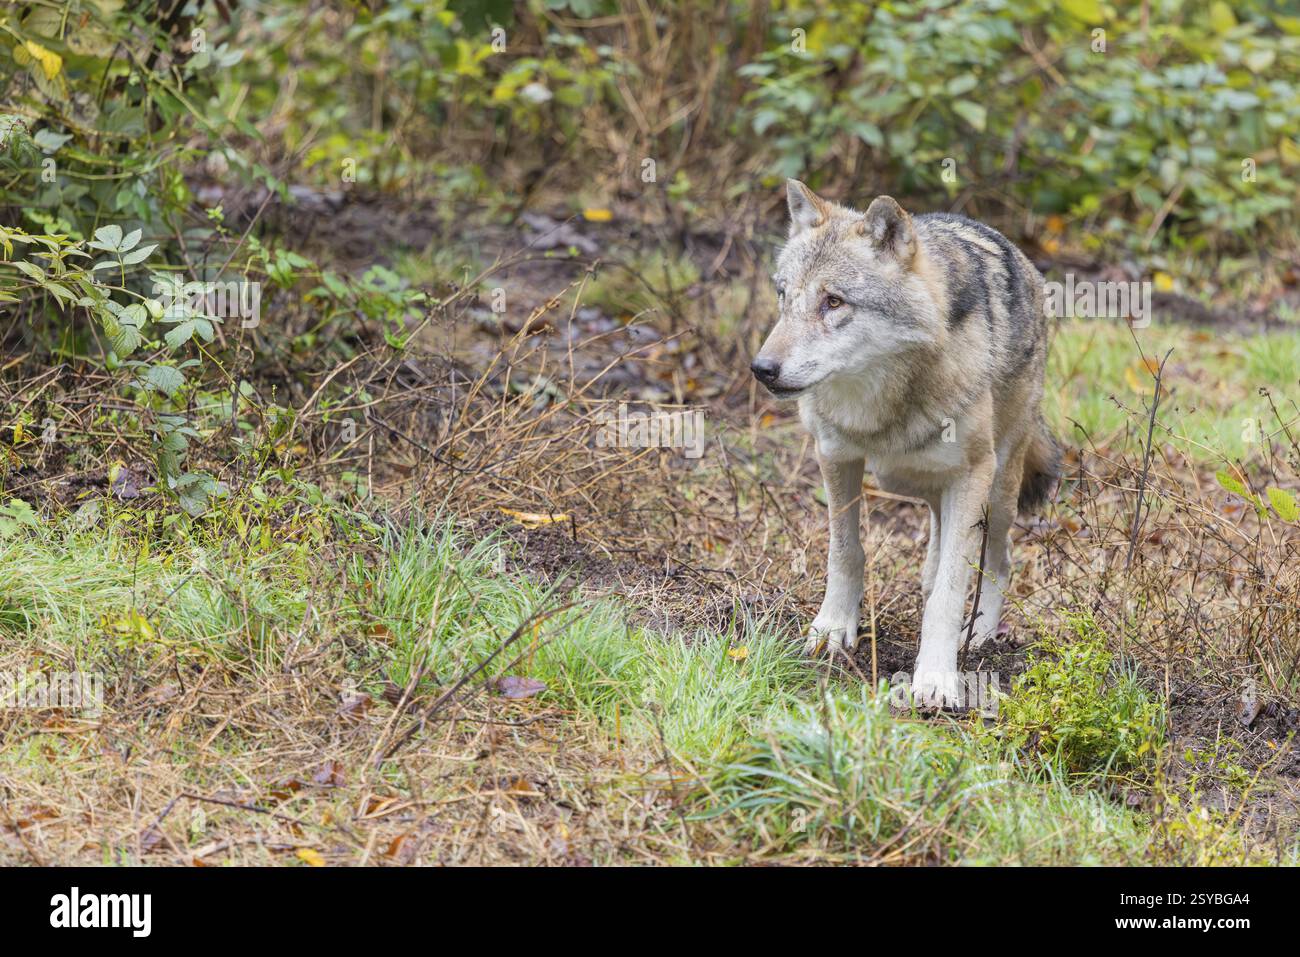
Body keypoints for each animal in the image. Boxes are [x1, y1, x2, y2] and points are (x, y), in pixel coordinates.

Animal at [752, 181, 1059, 706]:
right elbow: (846, 552)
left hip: (998, 489)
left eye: (834, 302)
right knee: (936, 552)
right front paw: (833, 630)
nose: (762, 369)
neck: (879, 405)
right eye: (783, 296)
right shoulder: (835, 456)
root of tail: (1028, 265)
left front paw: (935, 677)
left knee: (998, 560)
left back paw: (978, 635)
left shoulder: (972, 474)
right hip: (927, 485)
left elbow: (952, 590)